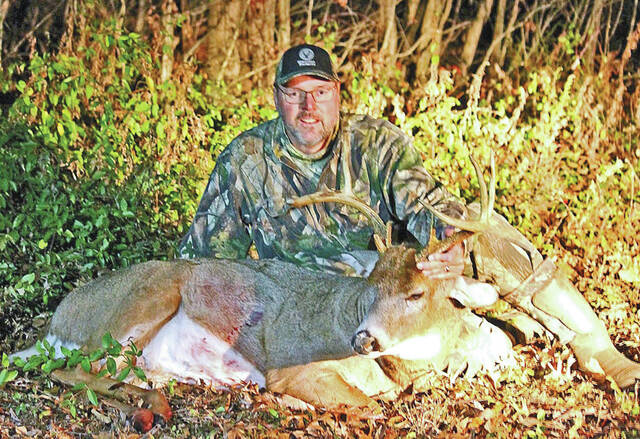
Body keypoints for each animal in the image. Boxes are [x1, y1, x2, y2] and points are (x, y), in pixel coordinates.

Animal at [11, 154, 512, 433]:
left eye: (416, 294)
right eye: (372, 290)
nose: (363, 338)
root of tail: (57, 320)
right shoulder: (293, 366)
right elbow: (368, 406)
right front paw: (289, 402)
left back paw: (153, 402)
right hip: (143, 300)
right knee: (70, 370)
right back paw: (147, 410)